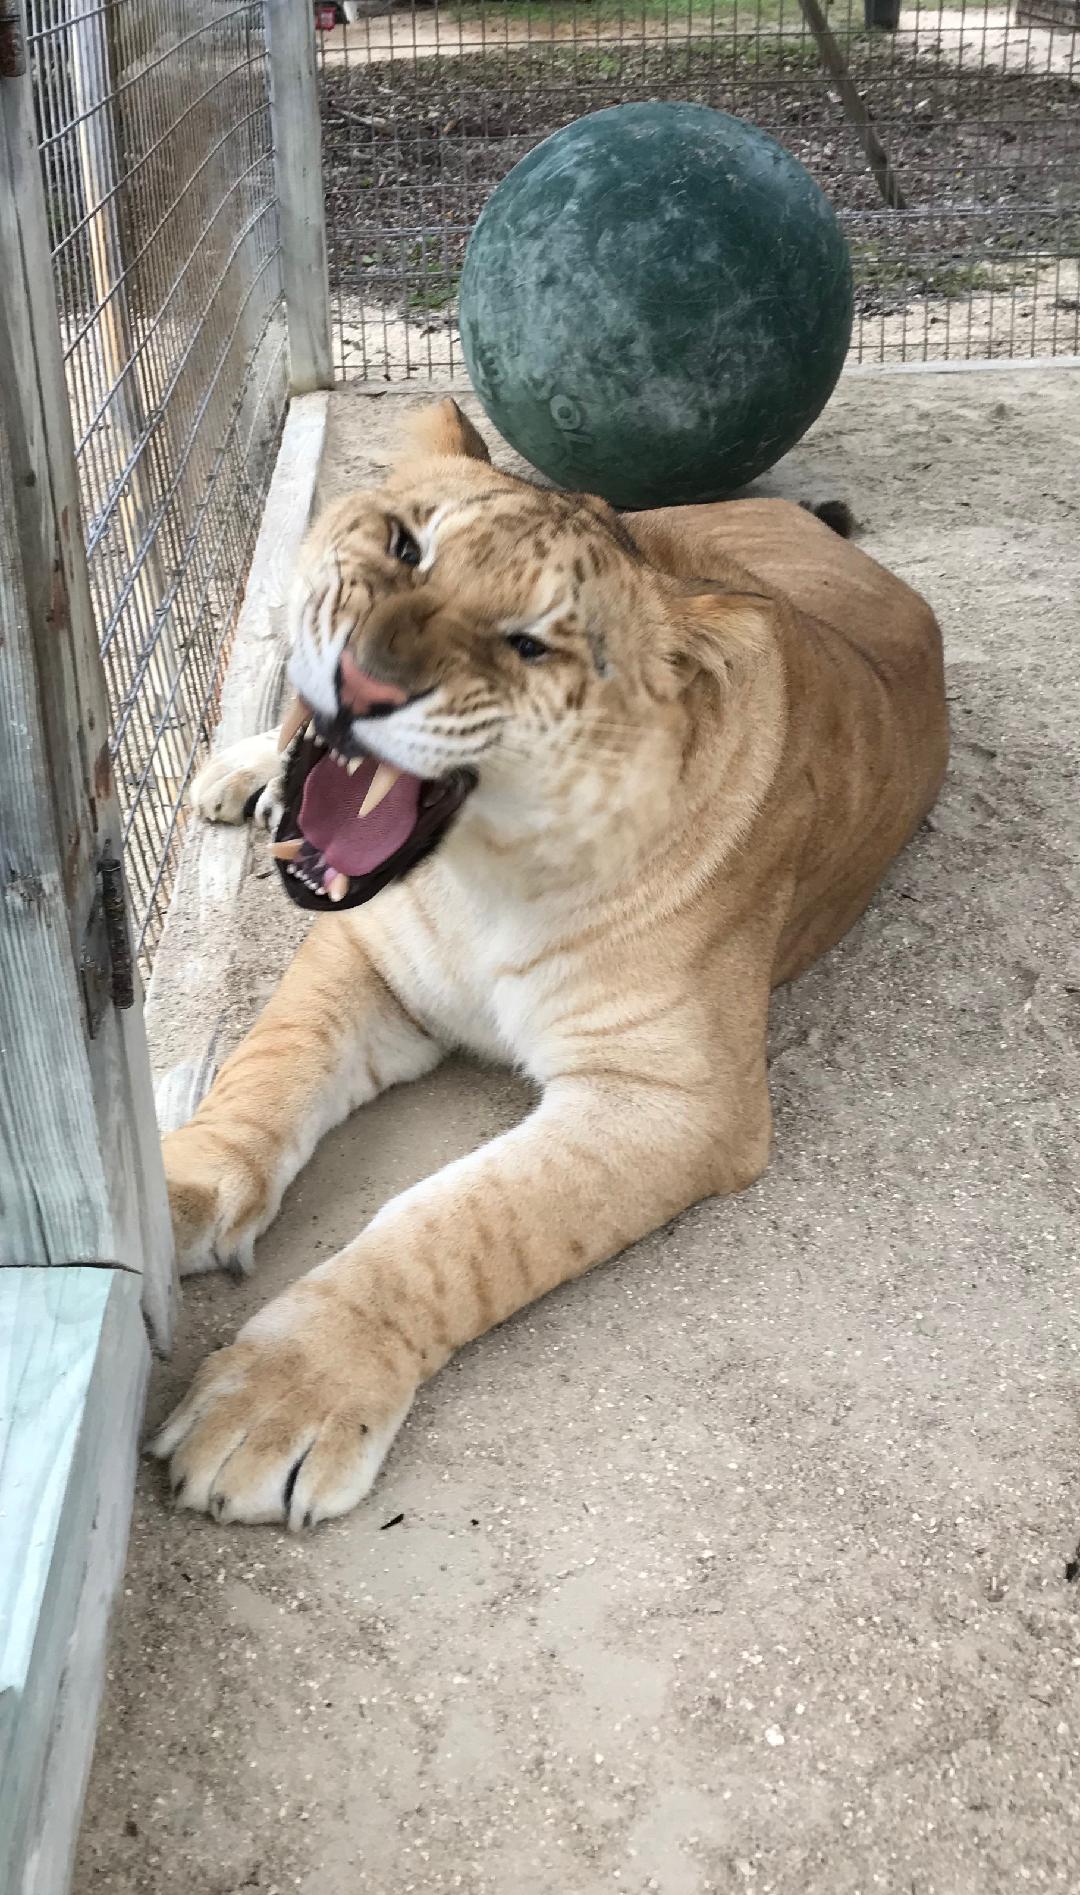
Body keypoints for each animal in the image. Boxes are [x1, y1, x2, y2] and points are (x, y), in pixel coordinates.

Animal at [152, 398, 948, 1528]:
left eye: (533, 646)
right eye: (406, 546)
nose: (363, 681)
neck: (488, 868)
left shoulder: (673, 1100)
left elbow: (454, 1225)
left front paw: (282, 1395)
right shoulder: (367, 956)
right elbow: (267, 1070)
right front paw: (167, 1195)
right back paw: (242, 774)